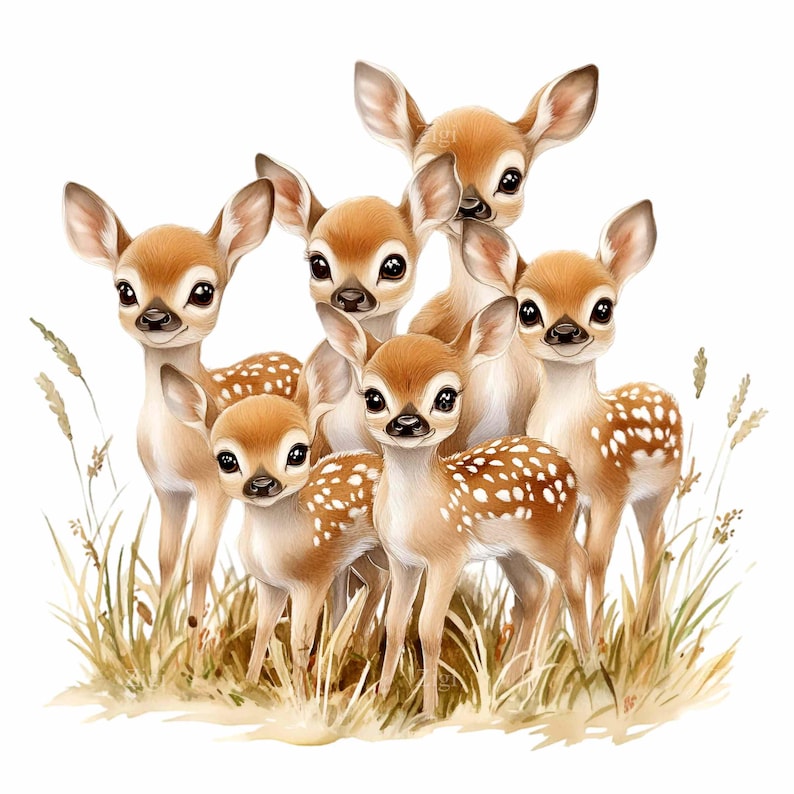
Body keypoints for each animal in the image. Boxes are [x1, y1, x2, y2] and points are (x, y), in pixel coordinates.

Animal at [62, 179, 302, 643]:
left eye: (202, 291)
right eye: (125, 289)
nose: (156, 317)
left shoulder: (213, 487)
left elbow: (201, 560)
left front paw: (192, 646)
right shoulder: (167, 489)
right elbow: (167, 558)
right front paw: (159, 644)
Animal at [160, 363, 385, 694]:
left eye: (297, 453)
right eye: (226, 459)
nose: (263, 483)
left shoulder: (312, 578)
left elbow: (299, 642)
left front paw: (300, 696)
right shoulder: (269, 583)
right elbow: (263, 630)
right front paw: (250, 685)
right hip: (359, 556)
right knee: (376, 581)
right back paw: (351, 652)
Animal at [318, 296, 591, 715]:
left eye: (446, 397)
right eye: (374, 397)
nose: (407, 422)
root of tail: (570, 470)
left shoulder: (449, 556)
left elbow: (428, 629)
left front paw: (428, 710)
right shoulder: (403, 561)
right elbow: (395, 624)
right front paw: (380, 696)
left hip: (550, 535)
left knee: (575, 570)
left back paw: (585, 665)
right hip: (511, 549)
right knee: (536, 588)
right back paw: (512, 681)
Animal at [463, 202, 682, 638]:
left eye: (603, 307)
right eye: (528, 310)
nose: (565, 331)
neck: (576, 432)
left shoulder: (612, 487)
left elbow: (597, 561)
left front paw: (596, 644)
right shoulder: (575, 499)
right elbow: (568, 572)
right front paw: (550, 646)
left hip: (662, 486)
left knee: (654, 542)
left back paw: (645, 632)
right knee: (657, 540)